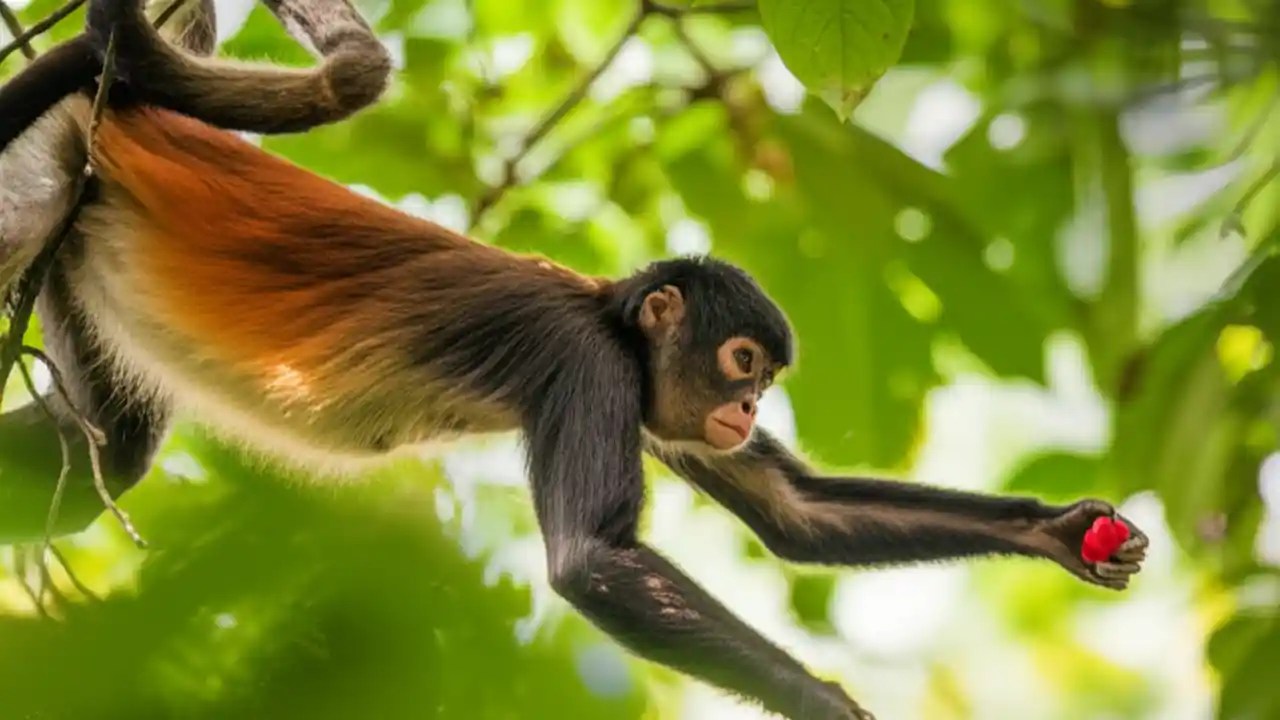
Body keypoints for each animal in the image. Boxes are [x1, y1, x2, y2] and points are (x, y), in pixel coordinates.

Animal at [0, 1, 1150, 718]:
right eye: (743, 361)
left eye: (765, 382)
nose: (745, 411)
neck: (611, 315)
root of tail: (122, 115)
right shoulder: (590, 365)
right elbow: (592, 560)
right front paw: (829, 708)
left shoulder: (648, 398)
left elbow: (796, 517)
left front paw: (1061, 531)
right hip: (35, 182)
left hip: (78, 228)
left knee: (109, 452)